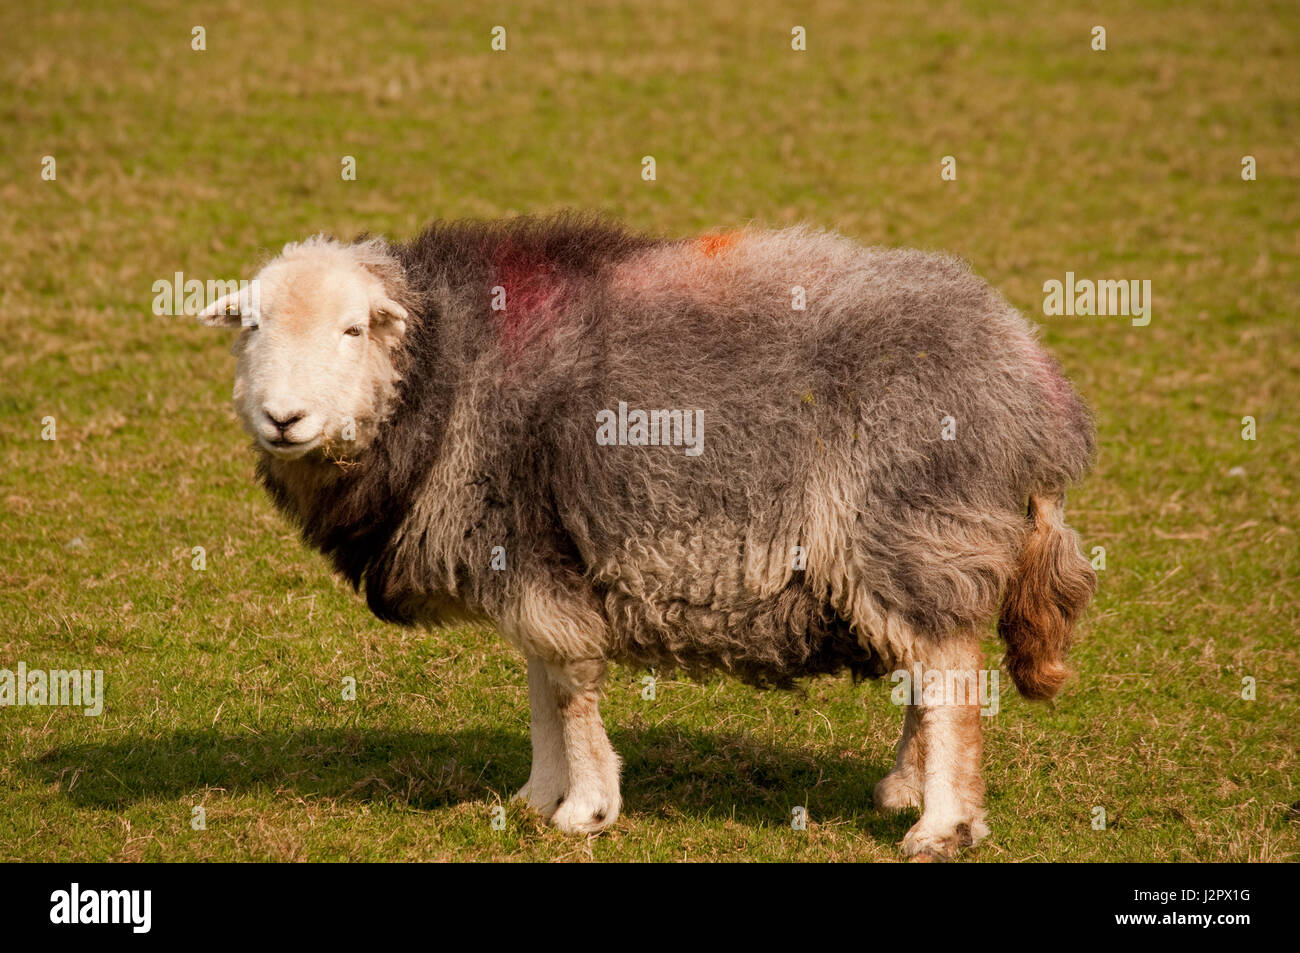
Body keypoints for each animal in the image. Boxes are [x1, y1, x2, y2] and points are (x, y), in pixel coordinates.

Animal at [198, 214, 1097, 859]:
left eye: (355, 330)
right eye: (250, 328)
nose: (284, 418)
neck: (444, 372)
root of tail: (1034, 386)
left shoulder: (533, 547)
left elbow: (568, 687)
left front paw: (587, 809)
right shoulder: (526, 557)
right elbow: (540, 682)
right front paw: (536, 796)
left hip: (907, 521)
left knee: (948, 670)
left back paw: (941, 825)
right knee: (929, 667)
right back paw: (906, 785)